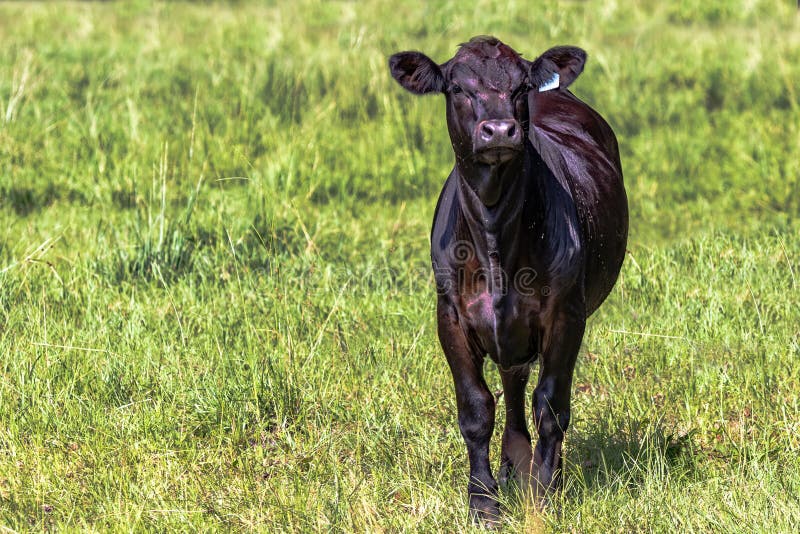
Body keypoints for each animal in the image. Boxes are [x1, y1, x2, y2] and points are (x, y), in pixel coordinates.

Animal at [388, 36, 628, 523]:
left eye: (520, 87)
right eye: (456, 88)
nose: (499, 130)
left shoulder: (566, 314)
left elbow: (551, 405)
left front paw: (545, 494)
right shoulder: (450, 317)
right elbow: (476, 407)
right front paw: (483, 500)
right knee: (512, 381)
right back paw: (511, 465)